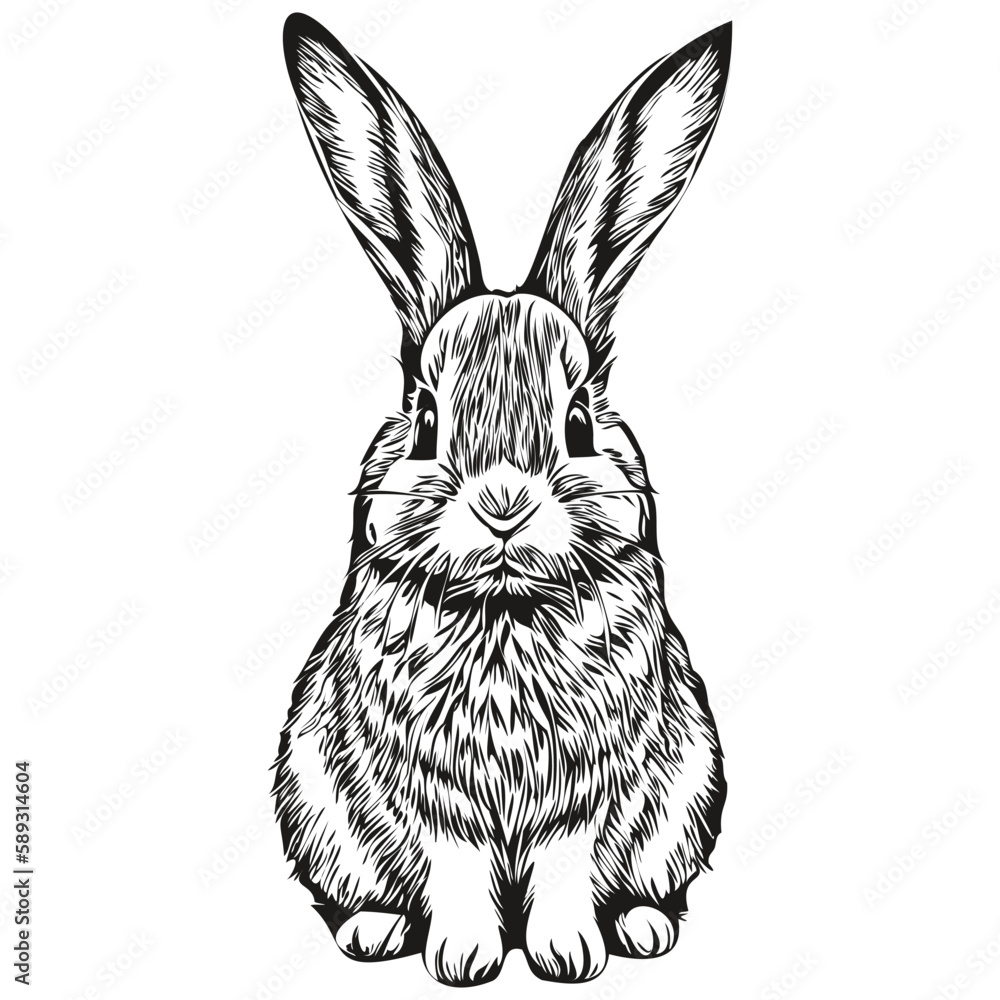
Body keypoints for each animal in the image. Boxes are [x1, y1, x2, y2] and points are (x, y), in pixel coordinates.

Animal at [273, 12, 730, 986]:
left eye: (580, 421)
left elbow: (562, 871)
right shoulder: (438, 805)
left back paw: (644, 927)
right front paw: (464, 961)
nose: (504, 504)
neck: (506, 606)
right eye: (426, 418)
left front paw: (567, 956)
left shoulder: (582, 801)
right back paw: (374, 931)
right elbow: (455, 874)